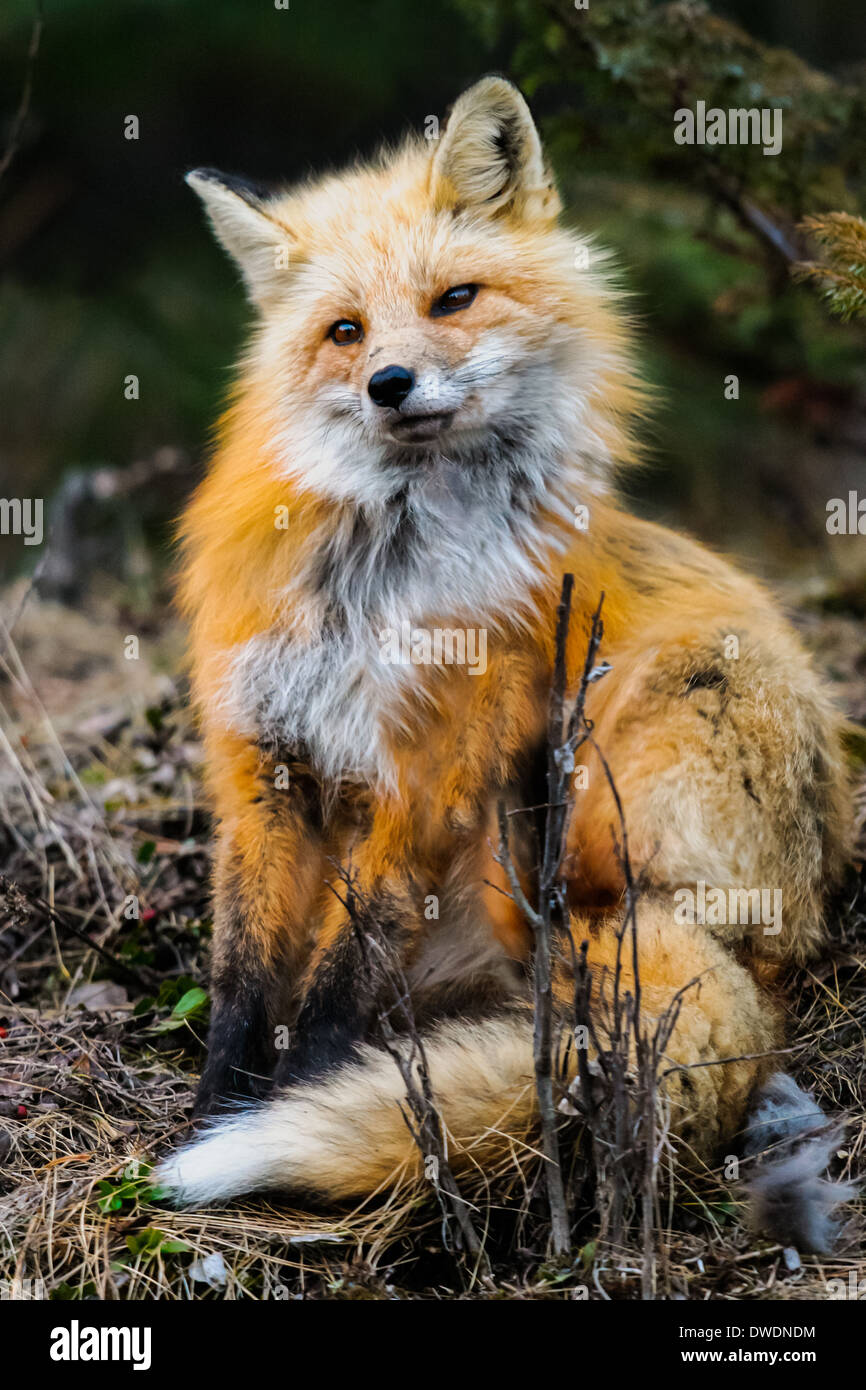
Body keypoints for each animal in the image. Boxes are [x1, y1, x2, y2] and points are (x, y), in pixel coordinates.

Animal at [156, 77, 854, 1250]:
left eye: (453, 299)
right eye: (343, 332)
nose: (391, 383)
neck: (376, 583)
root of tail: (782, 949)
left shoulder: (427, 780)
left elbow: (342, 982)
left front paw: (295, 1099)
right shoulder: (265, 765)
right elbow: (244, 979)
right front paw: (217, 1107)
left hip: (659, 728)